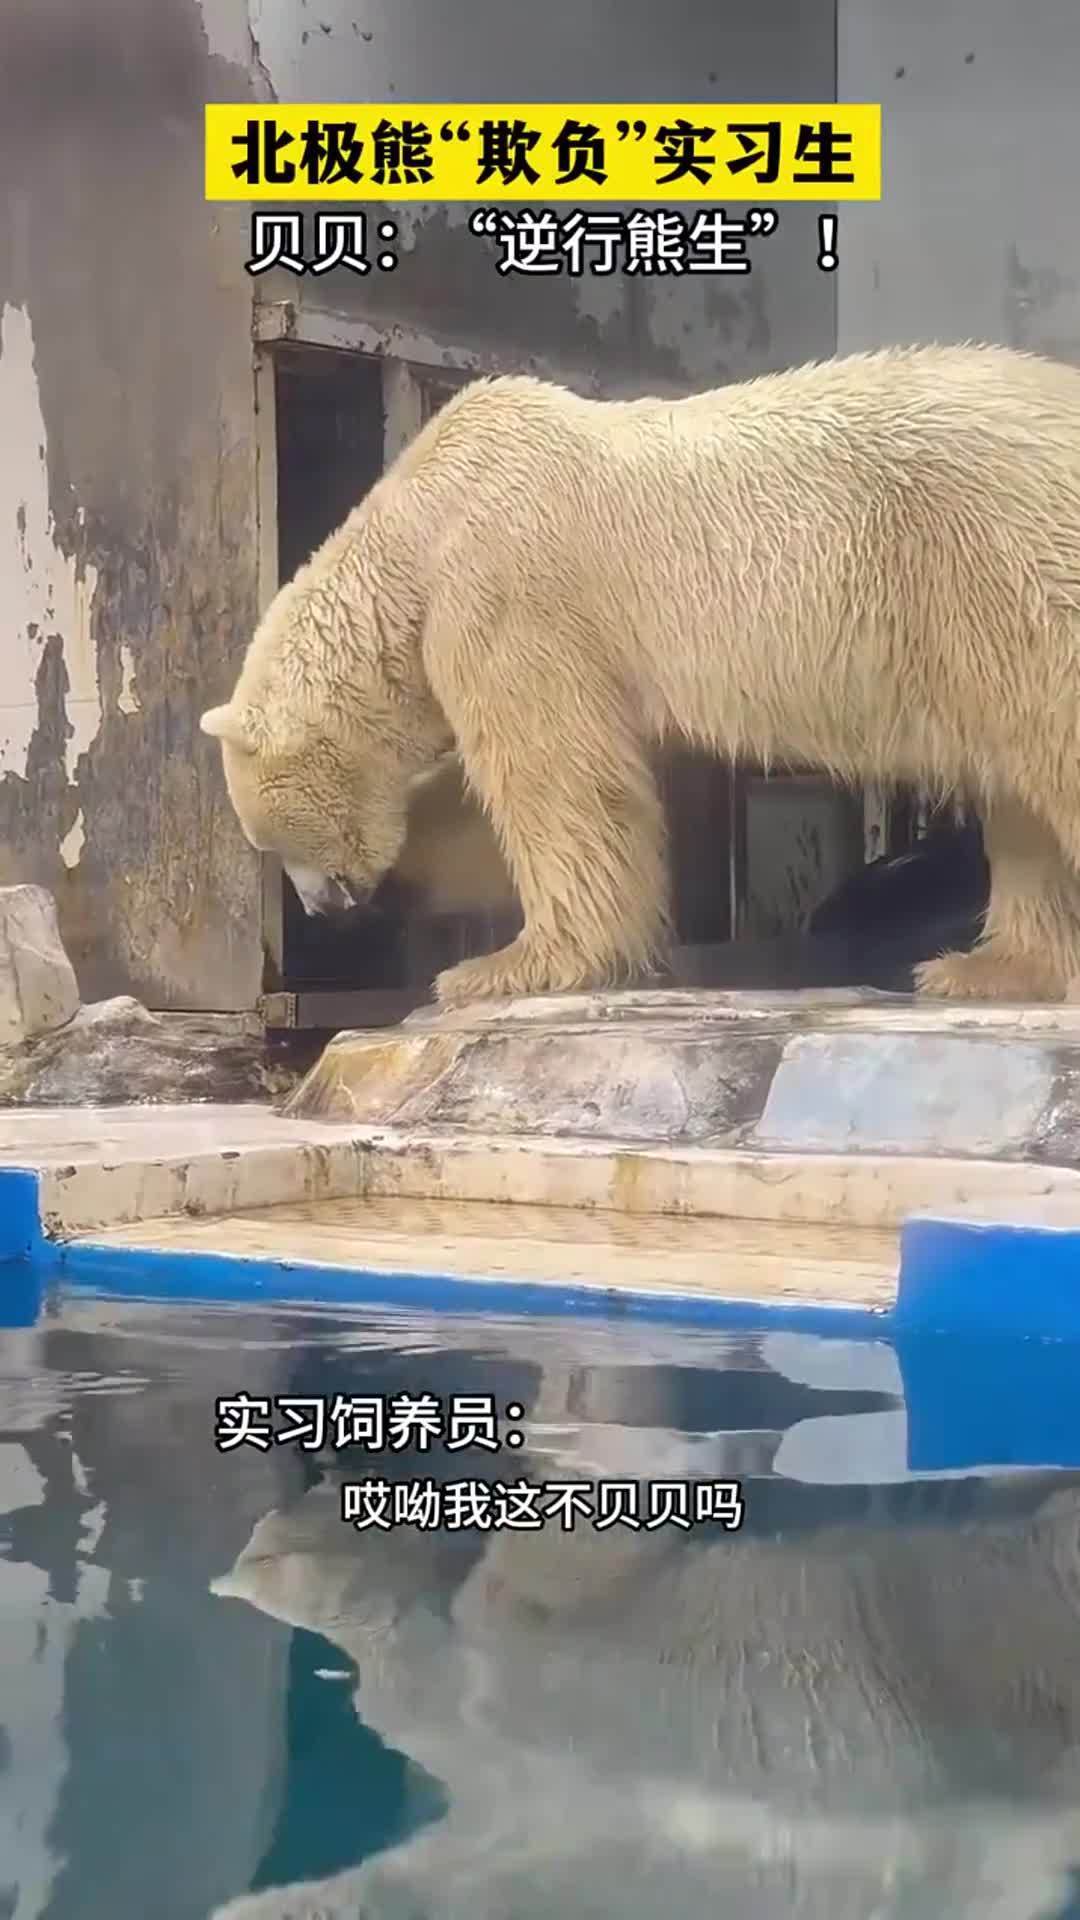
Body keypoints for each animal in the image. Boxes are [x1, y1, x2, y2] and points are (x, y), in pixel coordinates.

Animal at [202, 342, 1080, 1008]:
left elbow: (554, 777)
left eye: (272, 838)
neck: (419, 520)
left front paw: (499, 967)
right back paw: (989, 968)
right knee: (1020, 795)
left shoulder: (503, 591)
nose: (326, 908)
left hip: (997, 561)